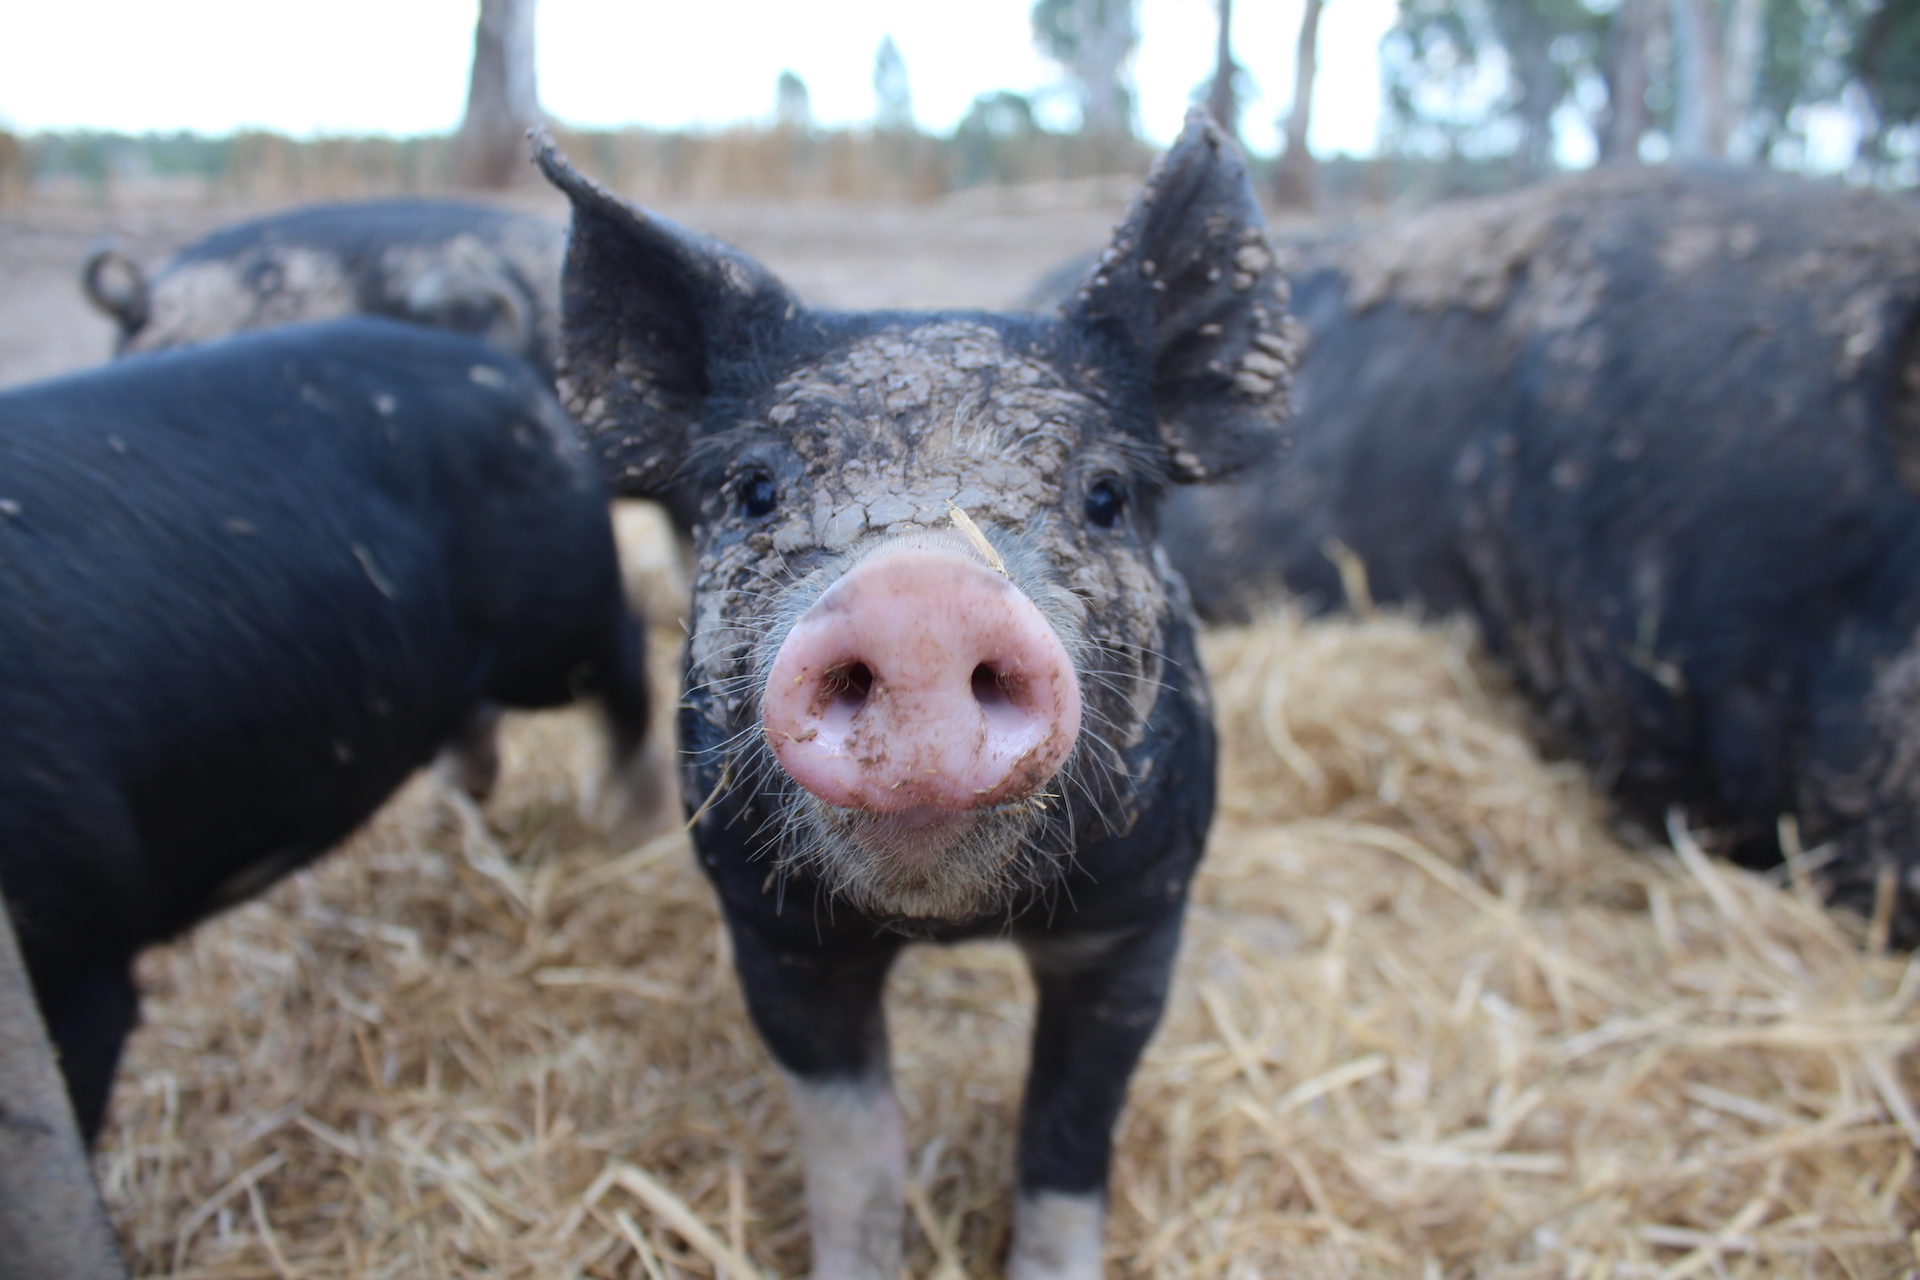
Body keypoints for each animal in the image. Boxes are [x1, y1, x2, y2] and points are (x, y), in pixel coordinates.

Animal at [0, 318, 648, 1144]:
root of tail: (510, 369)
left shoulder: (79, 955)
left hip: (555, 619)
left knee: (630, 644)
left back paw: (627, 813)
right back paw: (454, 833)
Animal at [532, 109, 1295, 1280]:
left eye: (1107, 495)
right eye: (756, 489)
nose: (920, 595)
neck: (947, 925)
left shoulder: (1138, 921)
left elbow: (1066, 1141)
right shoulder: (769, 927)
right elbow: (854, 1152)